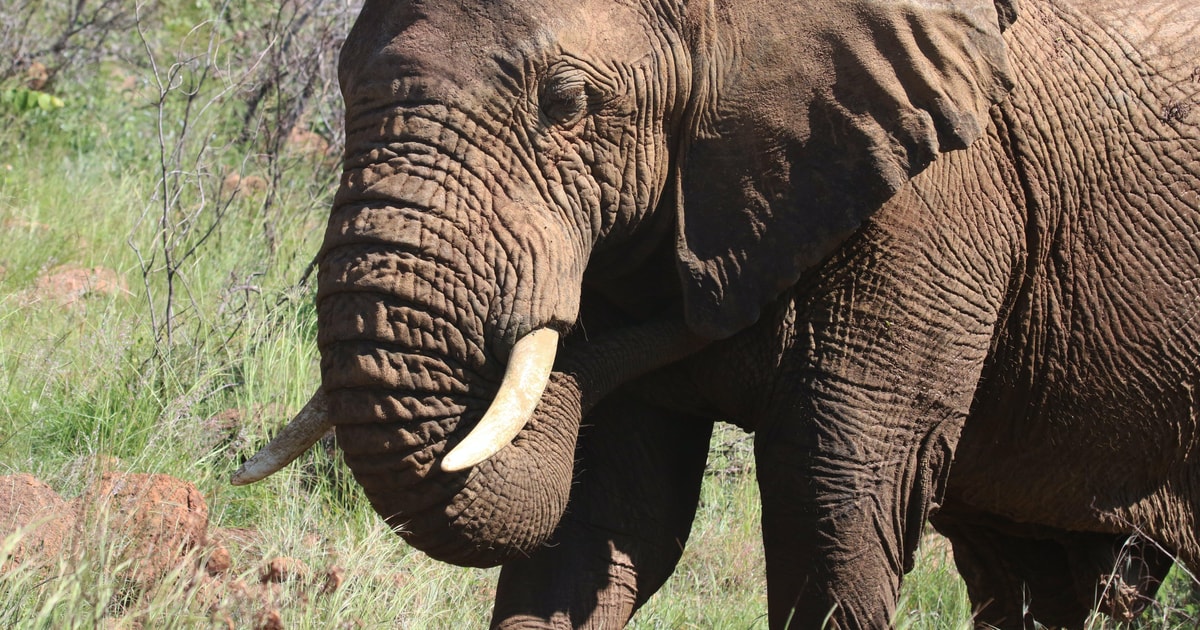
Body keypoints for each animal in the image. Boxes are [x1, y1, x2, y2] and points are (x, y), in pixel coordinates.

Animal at [232, 0, 1200, 627]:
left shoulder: (941, 207)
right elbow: (605, 512)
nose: (711, 302)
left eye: (568, 104)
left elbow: (834, 501)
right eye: (341, 83)